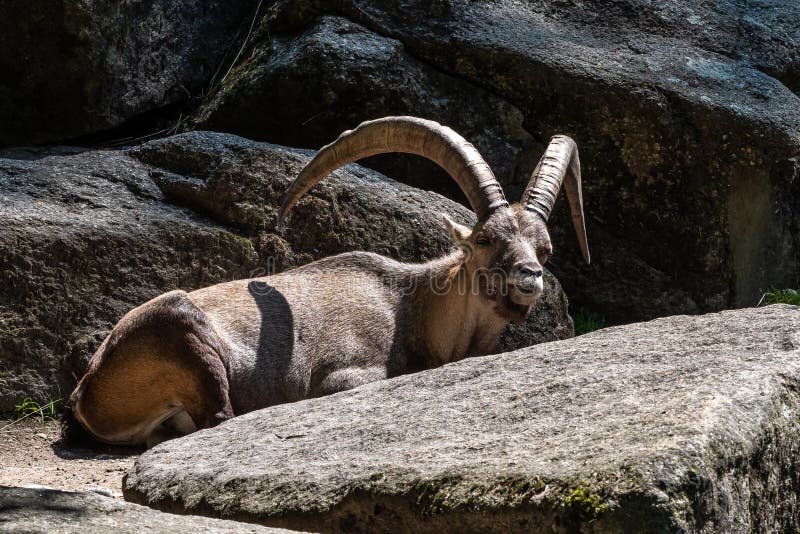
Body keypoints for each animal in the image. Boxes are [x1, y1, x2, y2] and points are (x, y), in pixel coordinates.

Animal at [63, 116, 590, 447]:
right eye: (484, 239)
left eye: (545, 249)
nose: (529, 277)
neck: (410, 306)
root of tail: (86, 391)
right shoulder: (341, 373)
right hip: (183, 326)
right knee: (219, 417)